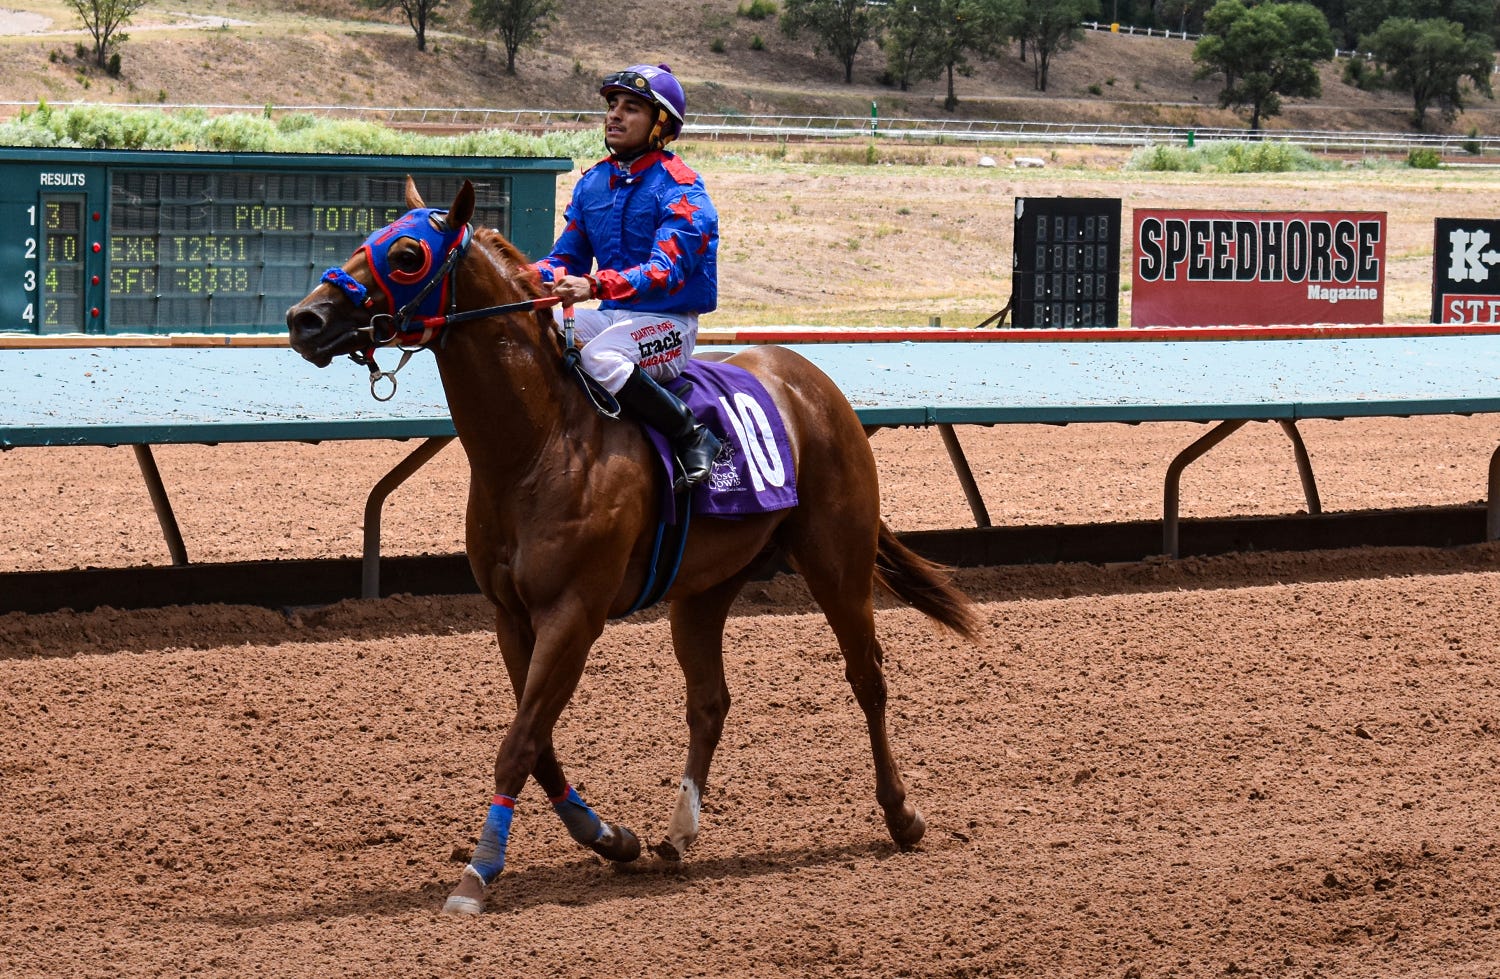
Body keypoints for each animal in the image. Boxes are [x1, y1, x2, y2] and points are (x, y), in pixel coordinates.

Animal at [286, 177, 978, 915]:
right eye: (372, 236)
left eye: (409, 254)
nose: (305, 319)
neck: (539, 444)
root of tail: (811, 381)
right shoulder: (510, 615)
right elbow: (539, 745)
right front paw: (610, 836)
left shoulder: (574, 613)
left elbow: (520, 743)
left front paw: (479, 872)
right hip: (705, 588)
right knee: (710, 700)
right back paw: (679, 833)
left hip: (836, 561)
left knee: (867, 675)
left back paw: (901, 813)